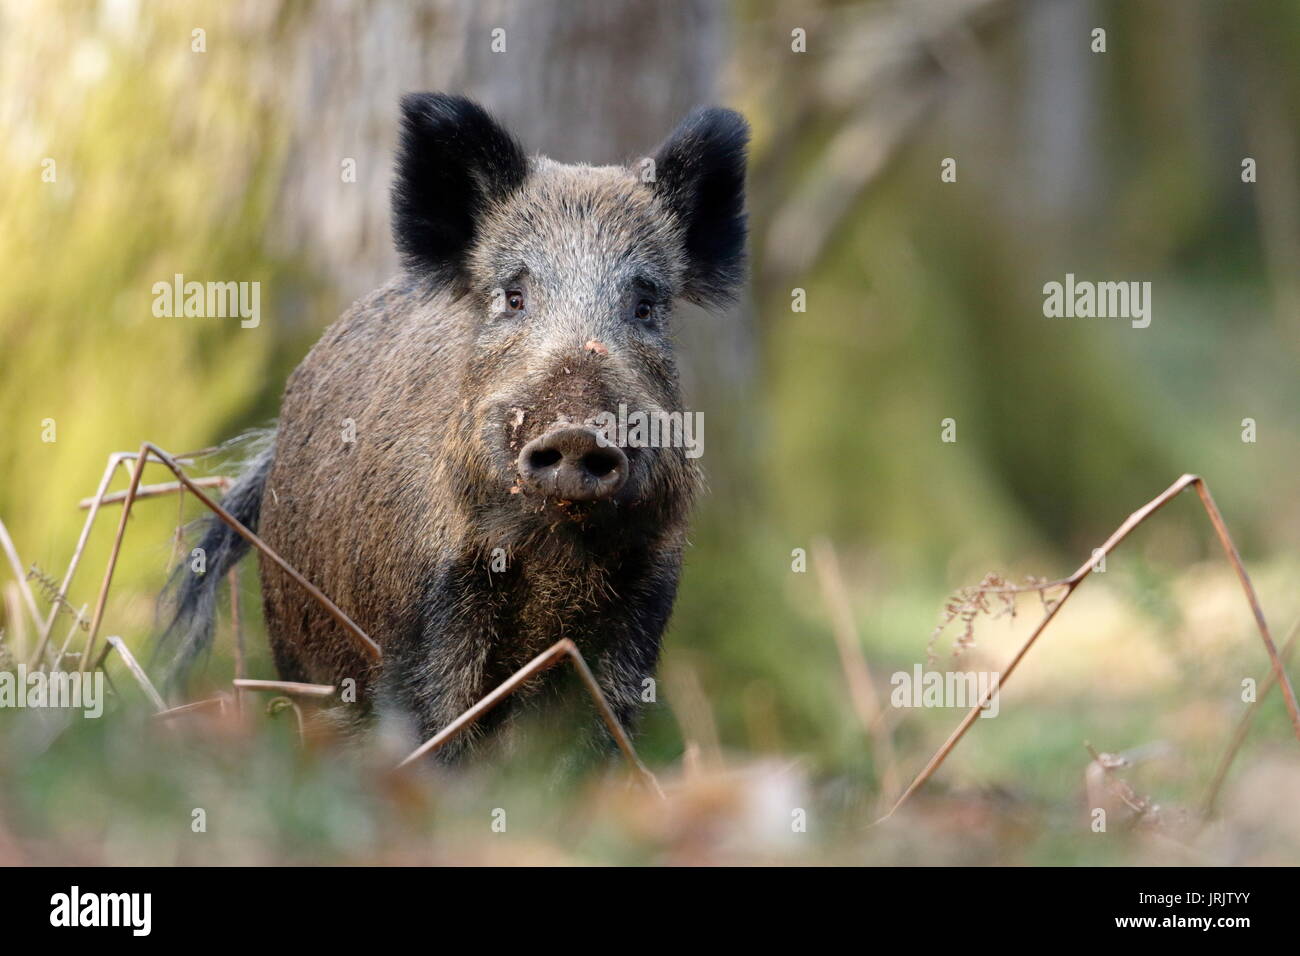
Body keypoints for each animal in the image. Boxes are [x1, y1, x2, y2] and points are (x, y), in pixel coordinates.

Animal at [159, 93, 749, 760]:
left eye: (646, 306)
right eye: (513, 297)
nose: (576, 434)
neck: (555, 557)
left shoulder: (637, 610)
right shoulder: (428, 607)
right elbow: (431, 726)